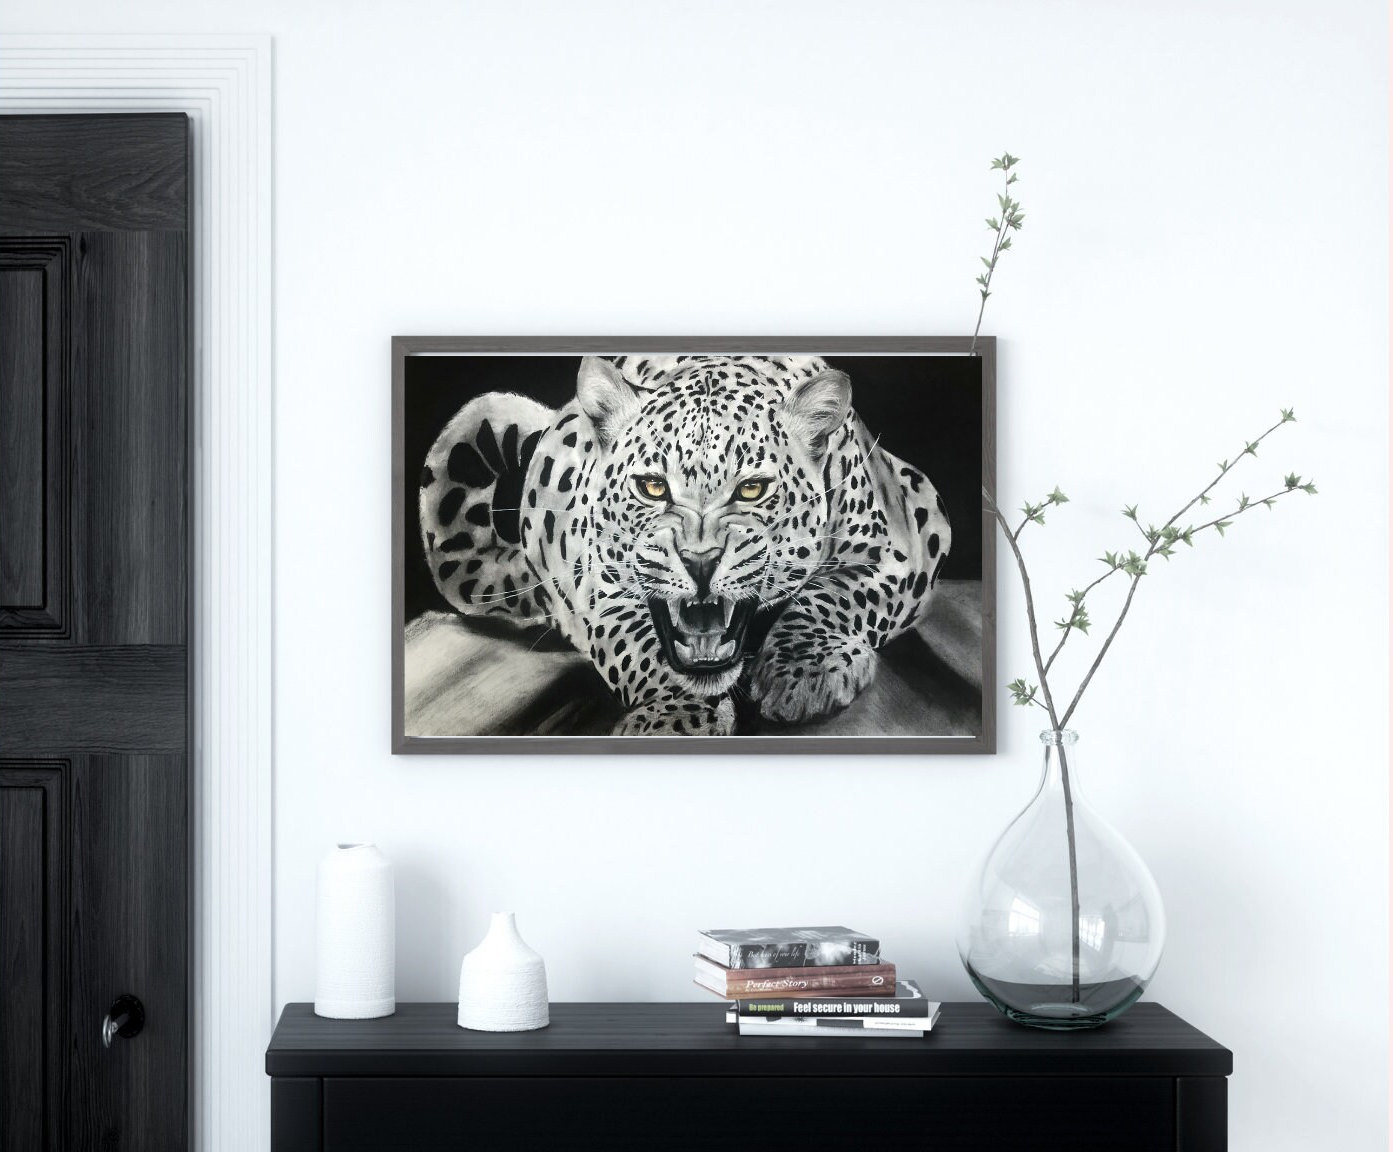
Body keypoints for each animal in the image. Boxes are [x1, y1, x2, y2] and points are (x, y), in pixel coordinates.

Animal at [417, 354, 952, 737]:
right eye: (653, 487)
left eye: (751, 490)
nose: (700, 561)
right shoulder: (598, 589)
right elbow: (639, 644)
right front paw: (674, 717)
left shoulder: (905, 539)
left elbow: (834, 595)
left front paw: (804, 672)